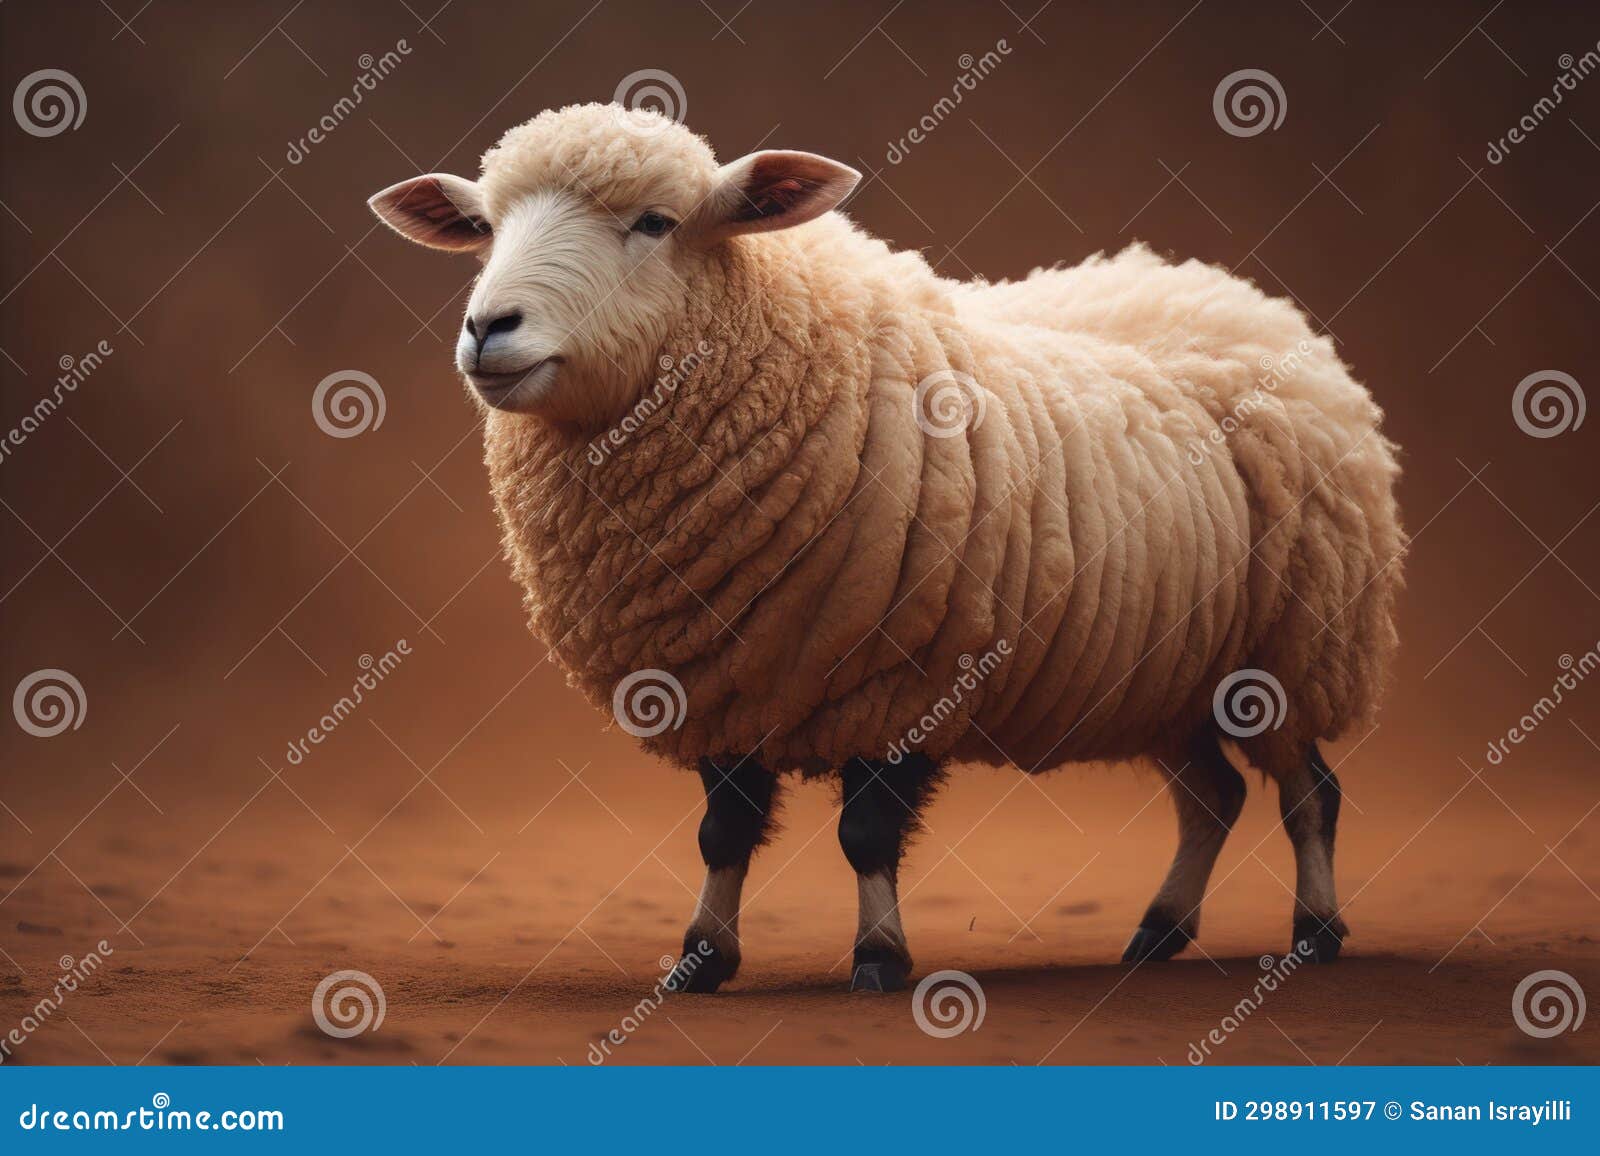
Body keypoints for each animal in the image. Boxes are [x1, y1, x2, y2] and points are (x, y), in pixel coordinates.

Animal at [369, 103, 1406, 993]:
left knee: (1308, 793)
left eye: (655, 223)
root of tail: (1244, 298)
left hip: (1291, 649)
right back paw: (1158, 933)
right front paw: (702, 959)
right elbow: (723, 833)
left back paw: (1314, 933)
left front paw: (878, 957)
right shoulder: (720, 680)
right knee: (1213, 798)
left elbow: (867, 833)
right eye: (485, 228)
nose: (487, 328)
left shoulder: (906, 676)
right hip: (1167, 672)